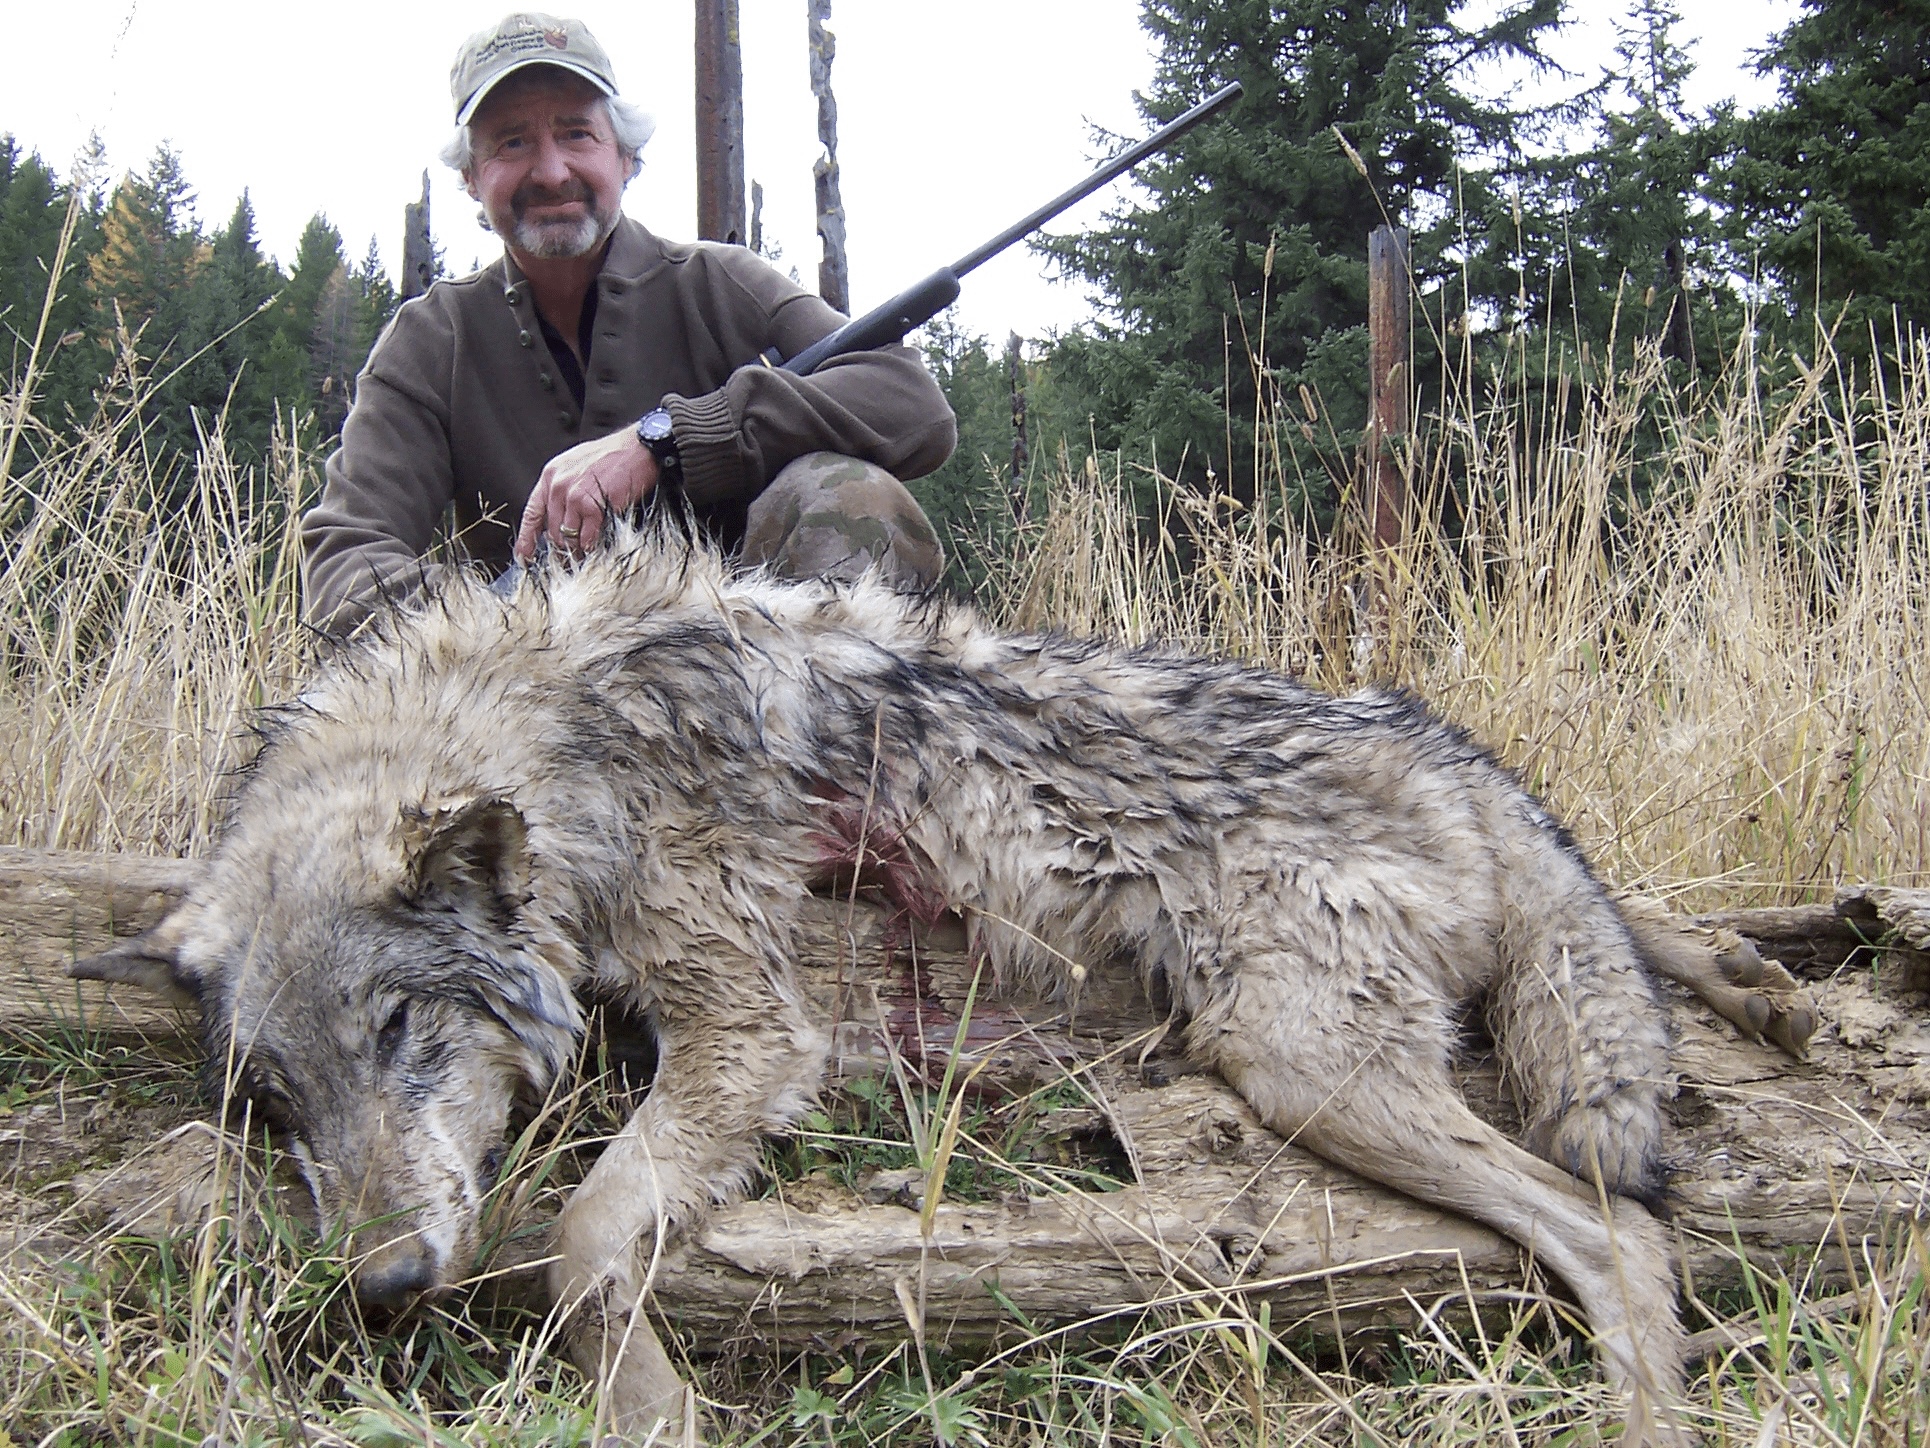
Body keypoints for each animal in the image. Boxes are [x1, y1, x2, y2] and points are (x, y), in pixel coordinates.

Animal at [74, 524, 1808, 1442]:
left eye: (401, 1029)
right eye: (275, 1096)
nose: (380, 1287)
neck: (562, 731)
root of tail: (1440, 747)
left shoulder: (748, 1028)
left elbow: (578, 1238)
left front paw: (645, 1408)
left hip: (1304, 1067)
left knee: (1617, 1230)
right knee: (1636, 949)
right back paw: (1751, 980)